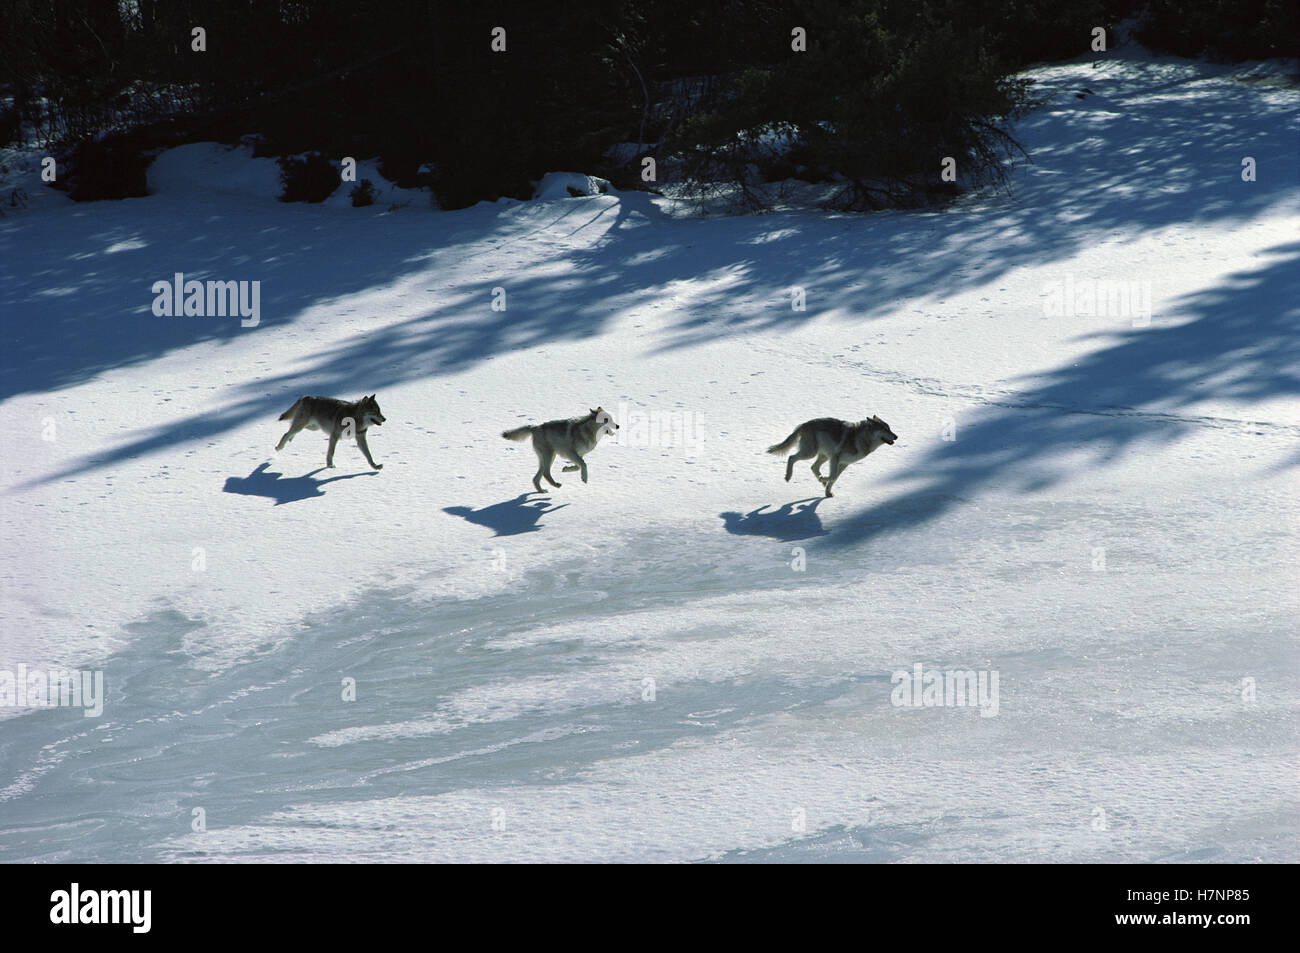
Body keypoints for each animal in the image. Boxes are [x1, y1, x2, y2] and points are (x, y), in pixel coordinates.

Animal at [767, 416, 896, 497]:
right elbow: (833, 476)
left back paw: (822, 481)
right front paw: (824, 481)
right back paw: (788, 477)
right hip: (811, 453)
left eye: (889, 428)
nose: (897, 436)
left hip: (823, 456)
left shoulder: (844, 463)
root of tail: (804, 424)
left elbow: (834, 478)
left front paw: (827, 491)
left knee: (813, 467)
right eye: (885, 429)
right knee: (791, 457)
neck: (861, 439)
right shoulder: (835, 458)